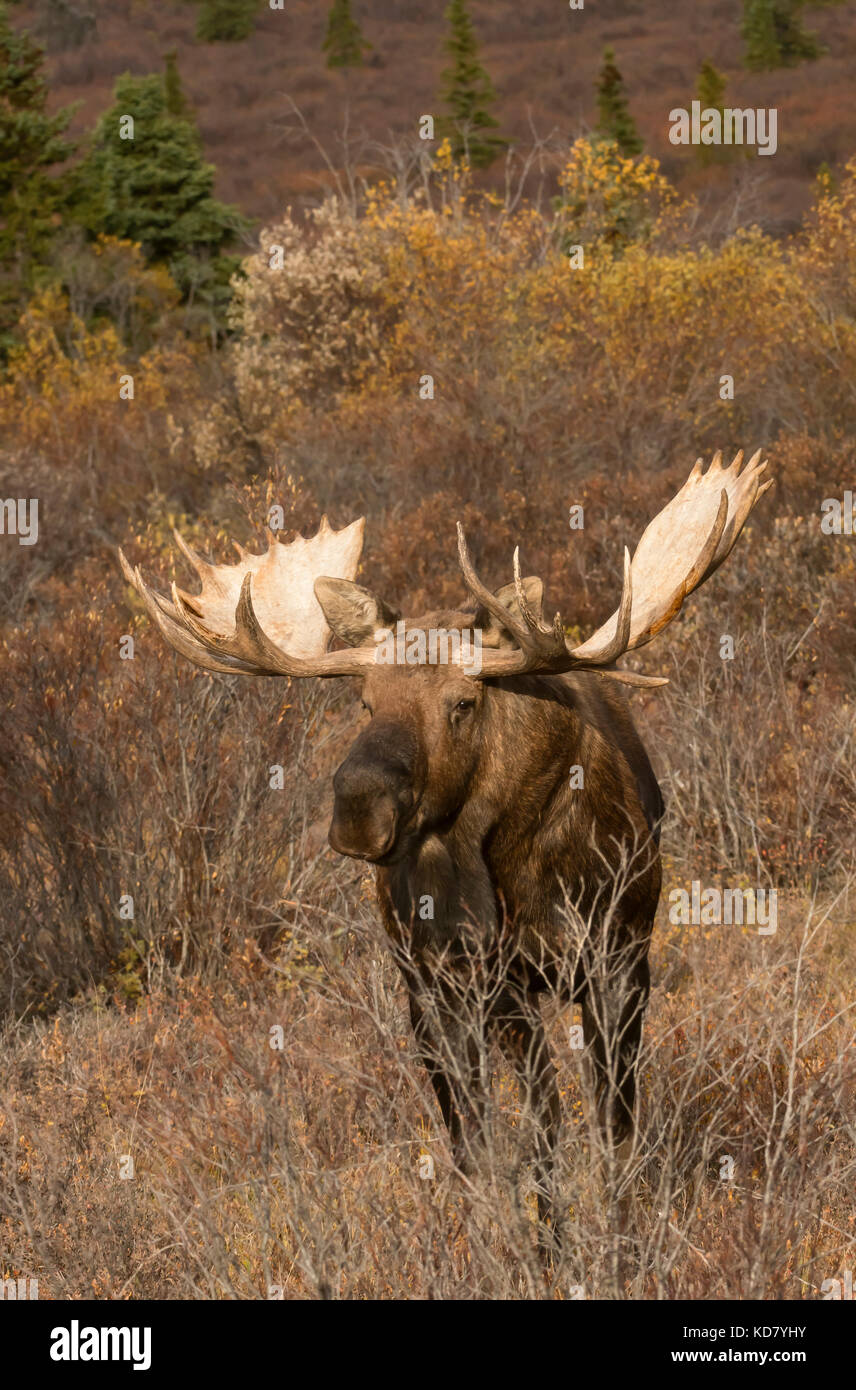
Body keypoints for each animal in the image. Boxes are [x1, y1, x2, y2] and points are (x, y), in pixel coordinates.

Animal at [120, 448, 772, 1249]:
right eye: (364, 699)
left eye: (463, 702)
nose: (358, 805)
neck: (505, 868)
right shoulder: (456, 985)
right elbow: (498, 1138)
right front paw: (522, 1245)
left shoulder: (617, 959)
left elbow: (609, 1126)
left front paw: (610, 1239)